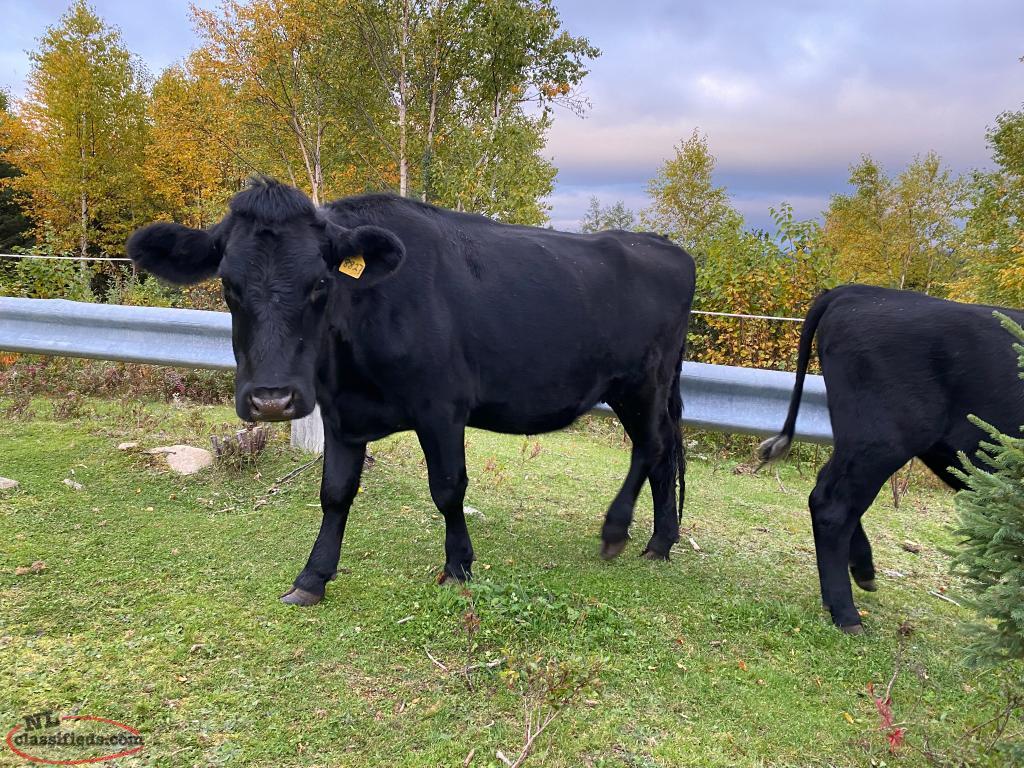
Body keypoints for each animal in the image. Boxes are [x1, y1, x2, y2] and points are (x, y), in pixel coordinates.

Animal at [127, 177, 696, 606]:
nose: (272, 398)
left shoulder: (441, 407)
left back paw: (617, 532)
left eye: (320, 283)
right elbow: (334, 493)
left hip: (642, 381)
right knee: (666, 451)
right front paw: (312, 577)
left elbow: (448, 488)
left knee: (652, 447)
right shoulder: (340, 414)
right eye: (229, 285)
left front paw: (459, 566)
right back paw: (660, 541)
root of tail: (665, 244)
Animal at [758, 284, 1024, 633]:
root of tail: (856, 291)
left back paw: (863, 571)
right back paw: (847, 614)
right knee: (834, 505)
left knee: (829, 489)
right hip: (884, 436)